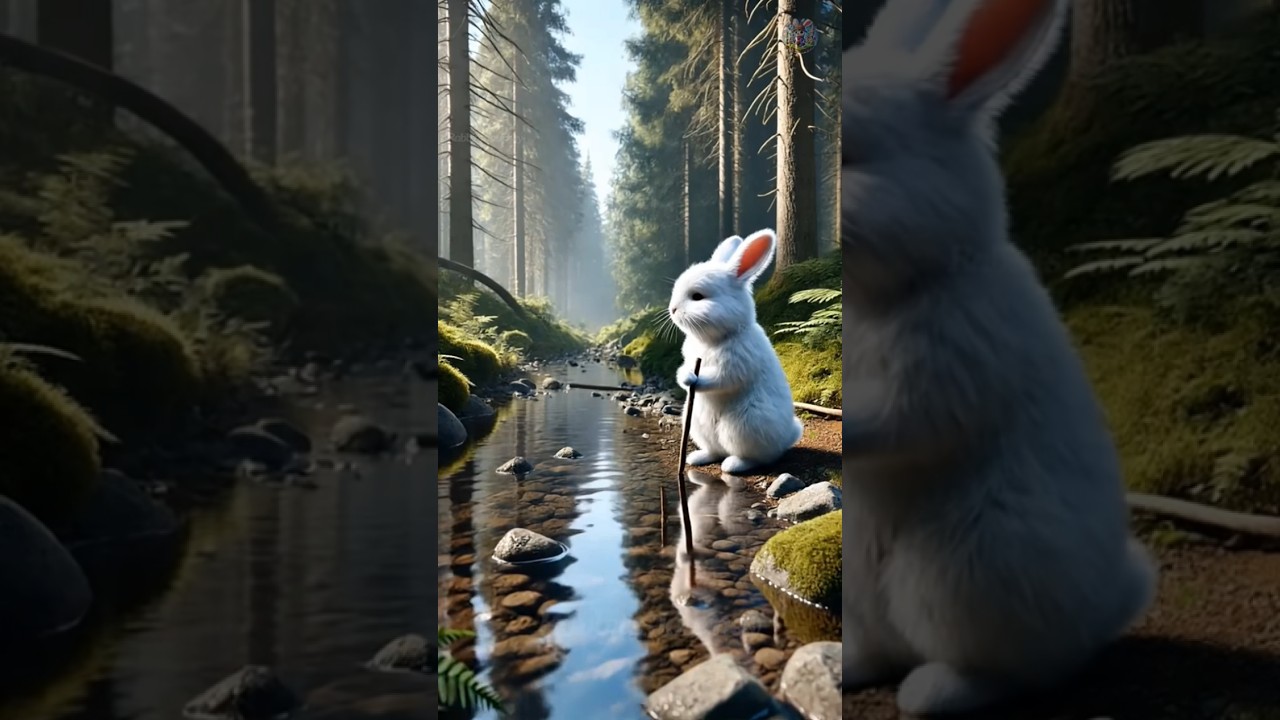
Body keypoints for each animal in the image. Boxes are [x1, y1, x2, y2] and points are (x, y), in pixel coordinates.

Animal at [668, 228, 804, 475]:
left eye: (697, 296)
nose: (672, 309)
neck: (713, 339)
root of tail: (788, 437)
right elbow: (684, 369)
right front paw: (684, 376)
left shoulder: (736, 365)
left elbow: (719, 379)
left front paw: (692, 378)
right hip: (697, 423)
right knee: (715, 451)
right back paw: (697, 457)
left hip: (745, 426)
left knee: (759, 458)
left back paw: (734, 464)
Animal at [840, 0, 1158, 716]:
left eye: (853, 154)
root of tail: (1106, 610)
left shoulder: (944, 369)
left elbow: (897, 422)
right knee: (881, 648)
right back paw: (850, 668)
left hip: (965, 571)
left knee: (1012, 672)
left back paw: (931, 692)